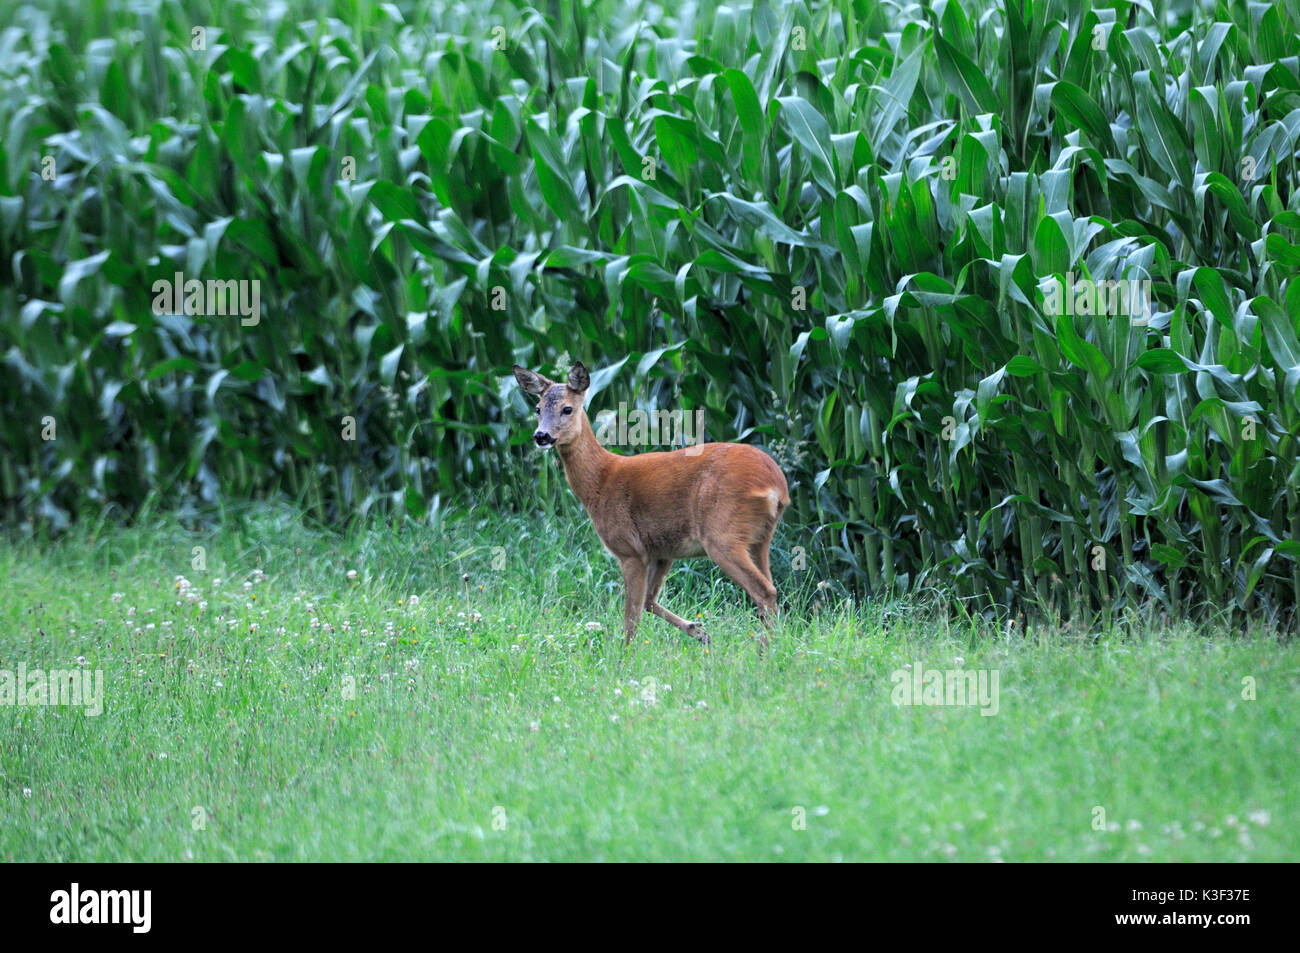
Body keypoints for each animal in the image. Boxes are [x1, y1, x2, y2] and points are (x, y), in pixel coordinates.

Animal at [513, 361, 789, 647]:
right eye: (537, 408)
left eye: (567, 408)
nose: (541, 436)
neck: (600, 480)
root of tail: (776, 486)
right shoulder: (662, 551)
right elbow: (647, 601)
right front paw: (699, 631)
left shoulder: (629, 549)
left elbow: (631, 617)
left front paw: (625, 653)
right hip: (760, 538)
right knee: (770, 587)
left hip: (722, 533)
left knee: (765, 591)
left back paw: (763, 649)